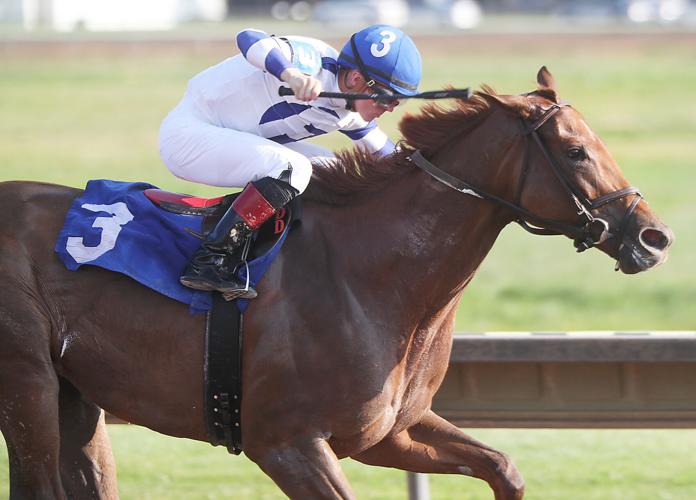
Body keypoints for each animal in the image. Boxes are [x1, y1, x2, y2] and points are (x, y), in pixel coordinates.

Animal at [0, 67, 673, 500]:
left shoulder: (385, 432)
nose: (654, 236)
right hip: (28, 386)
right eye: (576, 150)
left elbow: (503, 466)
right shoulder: (288, 444)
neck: (372, 277)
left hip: (77, 397)